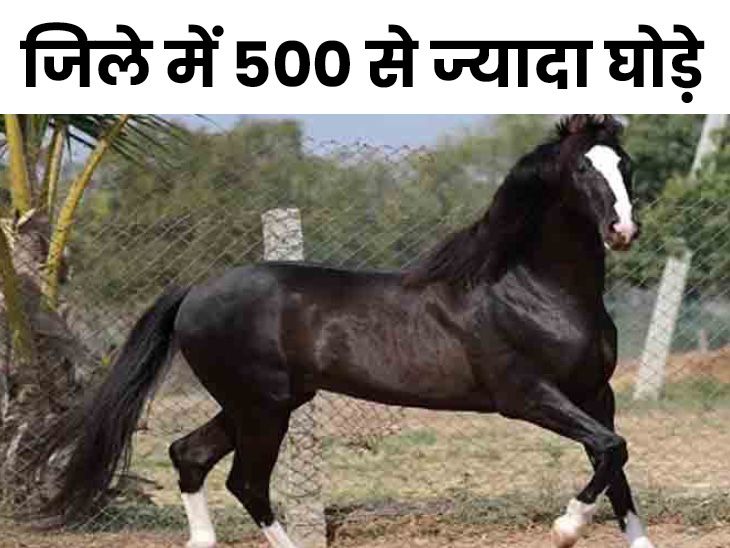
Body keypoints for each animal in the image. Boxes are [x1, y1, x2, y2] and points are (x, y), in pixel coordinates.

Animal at [30, 114, 653, 548]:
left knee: (189, 456)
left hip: (258, 404)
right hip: (263, 408)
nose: (623, 230)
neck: (530, 290)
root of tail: (195, 291)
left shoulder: (597, 394)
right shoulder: (525, 395)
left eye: (625, 163)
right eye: (582, 169)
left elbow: (616, 467)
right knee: (245, 482)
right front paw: (564, 527)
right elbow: (611, 451)